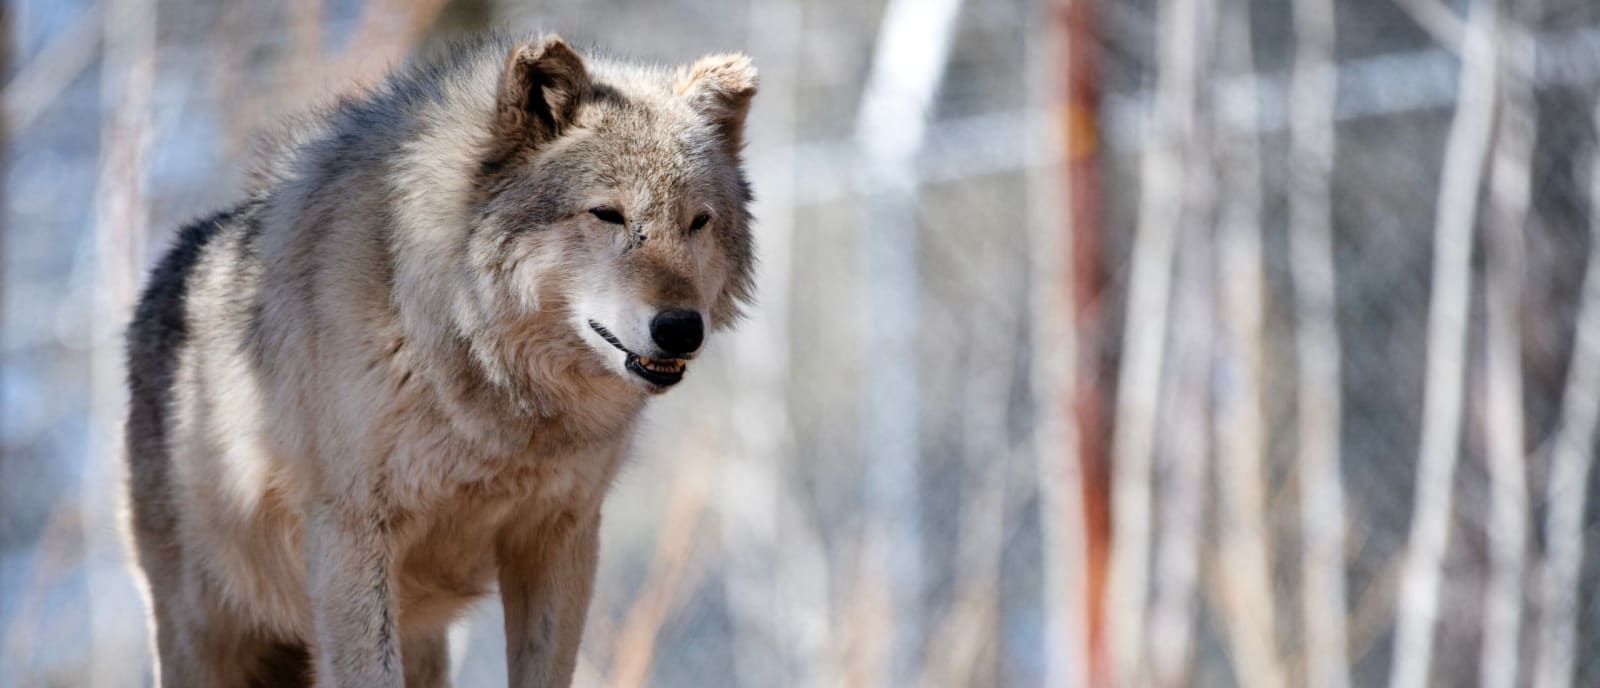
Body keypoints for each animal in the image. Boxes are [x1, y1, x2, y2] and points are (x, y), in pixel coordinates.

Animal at [122, 33, 756, 687]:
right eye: (608, 214)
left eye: (698, 222)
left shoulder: (561, 534)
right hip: (202, 634)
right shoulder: (352, 537)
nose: (681, 329)